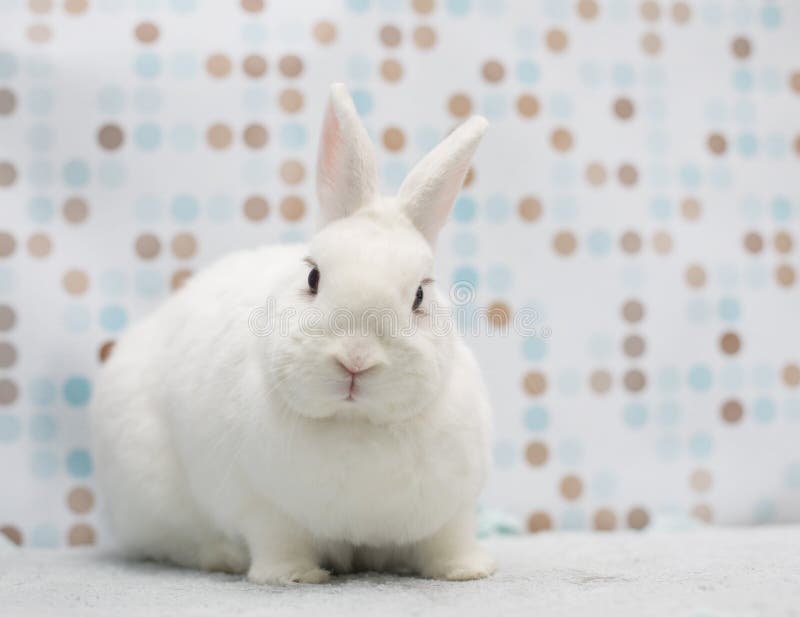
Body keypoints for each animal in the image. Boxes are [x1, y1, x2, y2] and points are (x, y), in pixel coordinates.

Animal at [90, 83, 495, 584]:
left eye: (420, 295)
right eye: (313, 277)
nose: (356, 360)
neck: (354, 424)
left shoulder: (452, 511)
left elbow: (449, 541)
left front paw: (467, 570)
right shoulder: (264, 508)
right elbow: (279, 542)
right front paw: (294, 576)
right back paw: (222, 557)